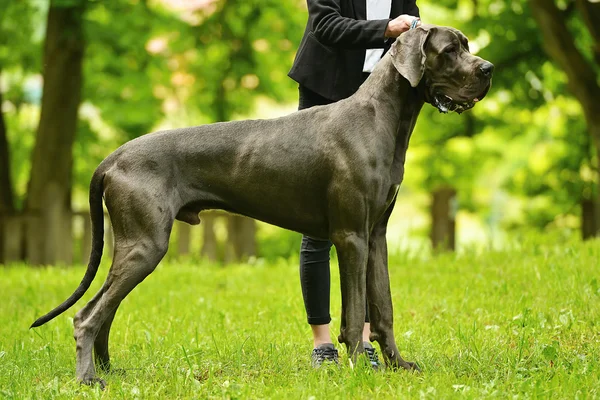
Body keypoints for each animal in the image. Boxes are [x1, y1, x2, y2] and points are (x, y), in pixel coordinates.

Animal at [31, 23, 492, 386]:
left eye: (466, 45)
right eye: (449, 51)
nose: (487, 69)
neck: (382, 117)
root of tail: (112, 158)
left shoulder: (375, 236)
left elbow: (383, 310)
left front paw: (397, 365)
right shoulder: (351, 238)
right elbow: (354, 311)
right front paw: (361, 369)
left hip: (133, 247)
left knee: (104, 310)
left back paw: (110, 372)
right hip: (145, 246)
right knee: (87, 315)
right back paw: (89, 379)